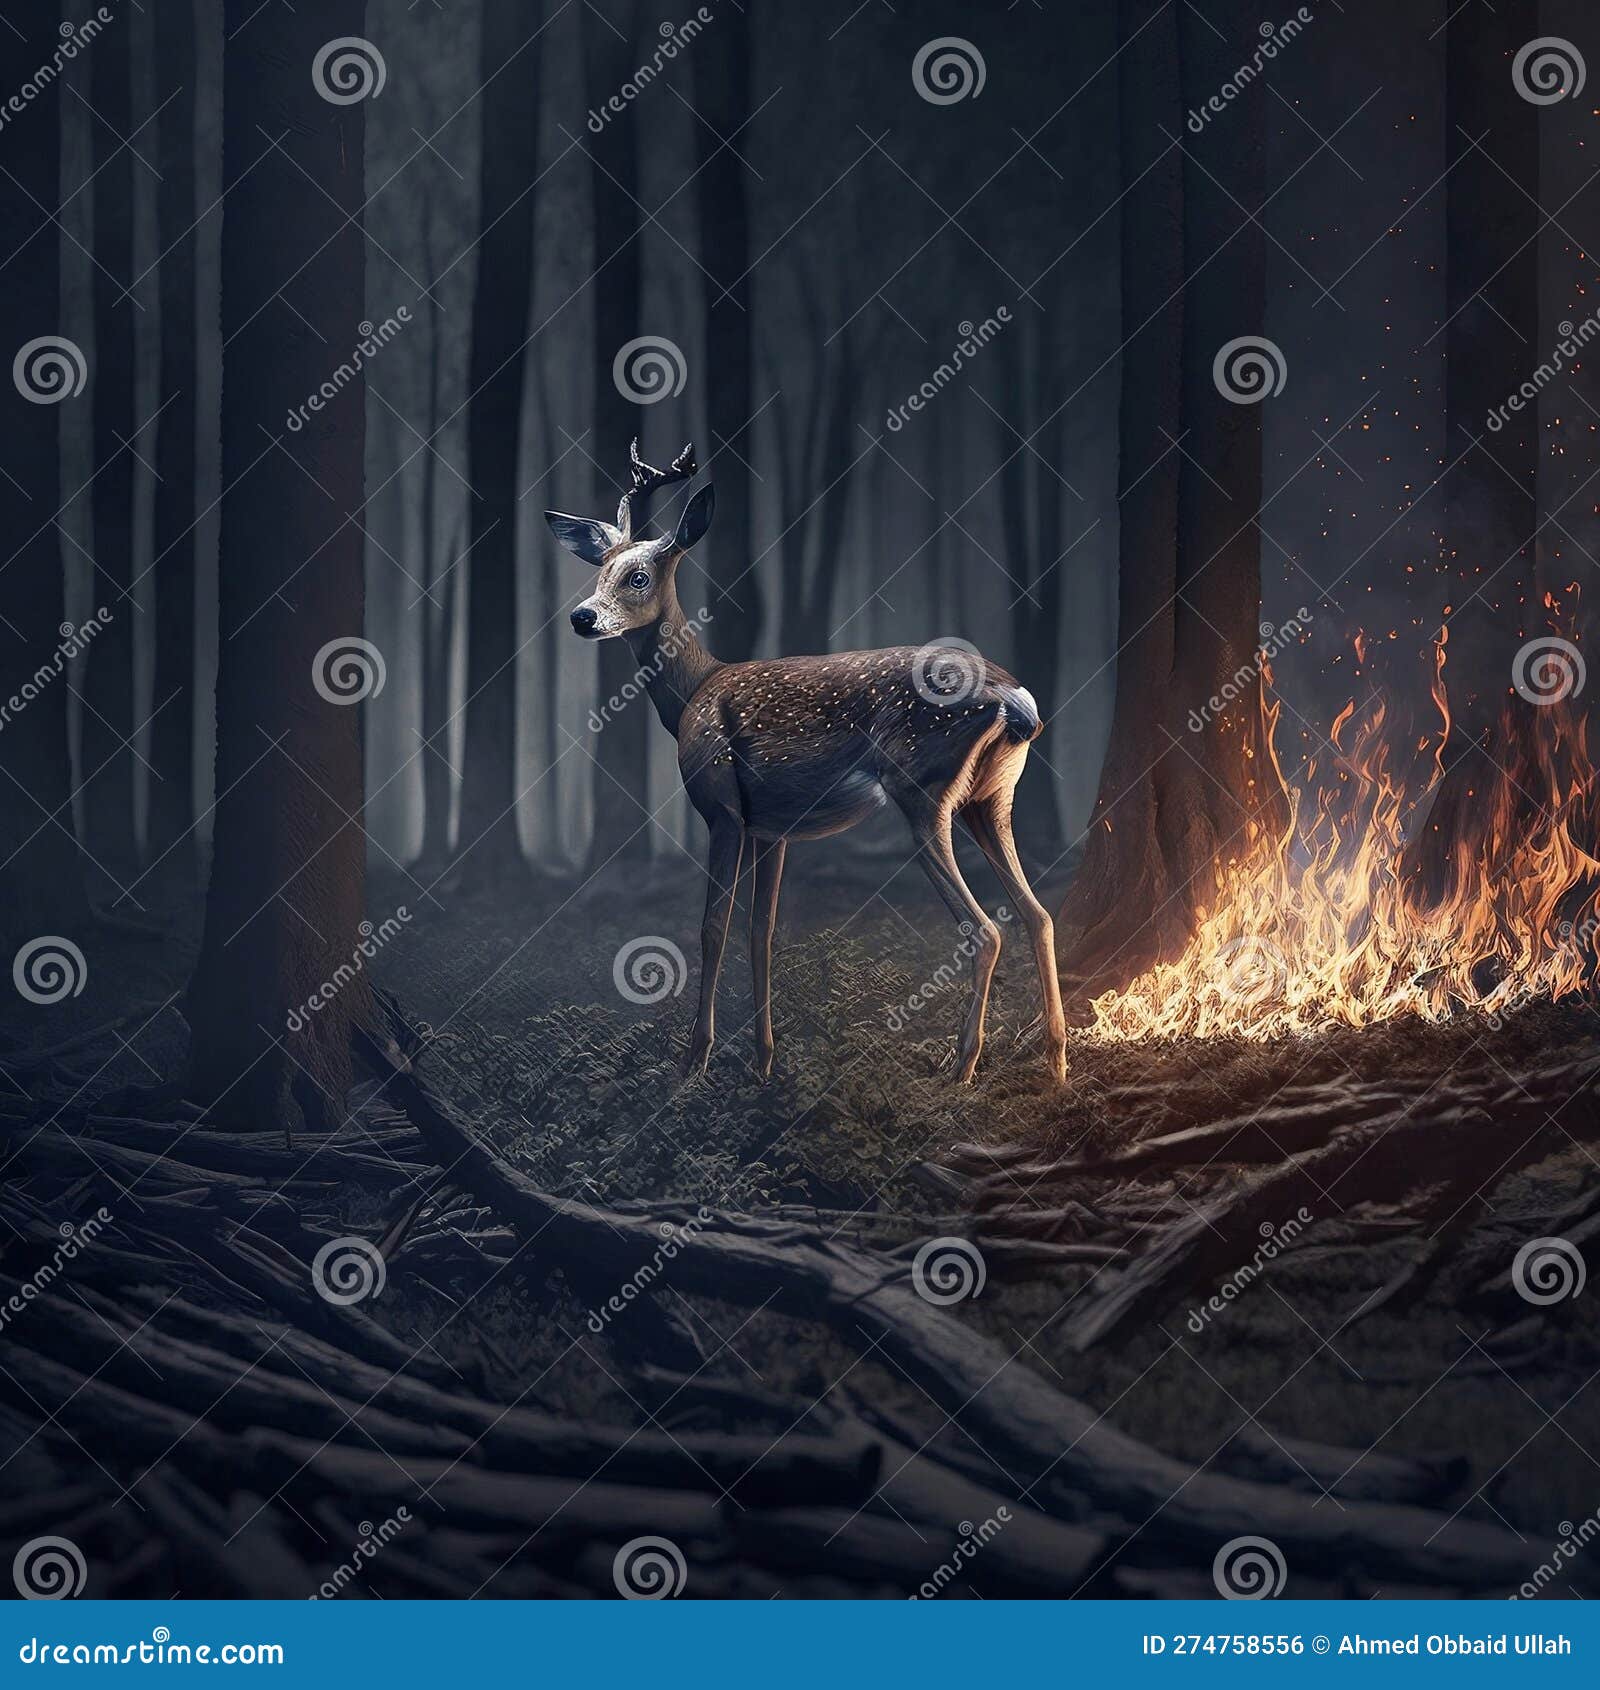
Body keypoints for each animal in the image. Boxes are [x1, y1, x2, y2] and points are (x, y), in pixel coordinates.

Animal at [547, 440, 1067, 1086]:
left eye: (637, 576)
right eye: (598, 571)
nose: (581, 617)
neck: (694, 691)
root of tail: (1013, 698)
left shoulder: (723, 808)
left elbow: (712, 927)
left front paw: (694, 1061)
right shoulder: (773, 828)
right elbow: (762, 931)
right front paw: (763, 1063)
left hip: (922, 789)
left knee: (987, 929)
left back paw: (962, 1066)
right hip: (989, 798)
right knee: (1038, 914)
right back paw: (1056, 1061)